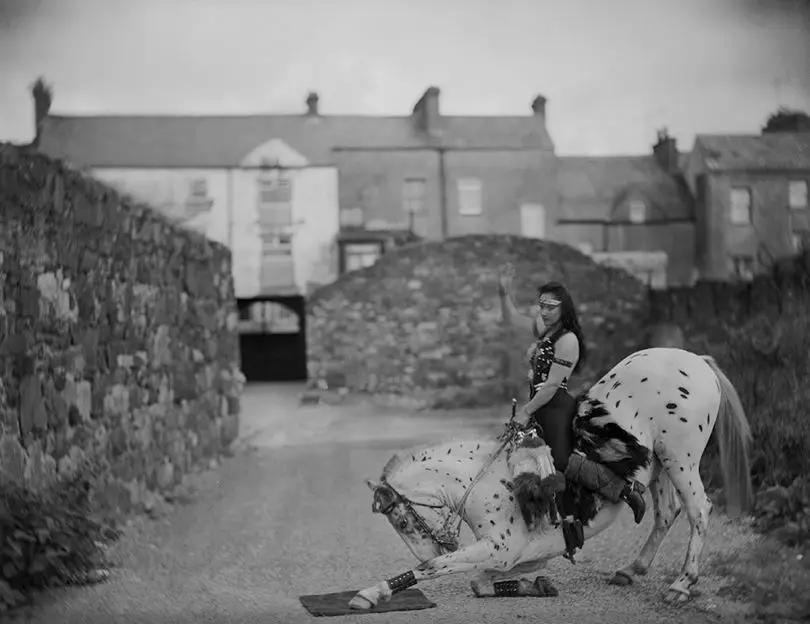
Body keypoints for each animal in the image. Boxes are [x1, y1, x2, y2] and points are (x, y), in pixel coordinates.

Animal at [350, 346, 756, 608]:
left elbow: (432, 569)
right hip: (658, 463)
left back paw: (682, 585)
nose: (439, 546)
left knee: (699, 510)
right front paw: (537, 585)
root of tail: (697, 361)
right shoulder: (514, 556)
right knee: (667, 512)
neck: (486, 482)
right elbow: (480, 583)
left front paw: (371, 593)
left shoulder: (501, 549)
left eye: (403, 522)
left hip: (680, 458)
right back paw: (630, 570)